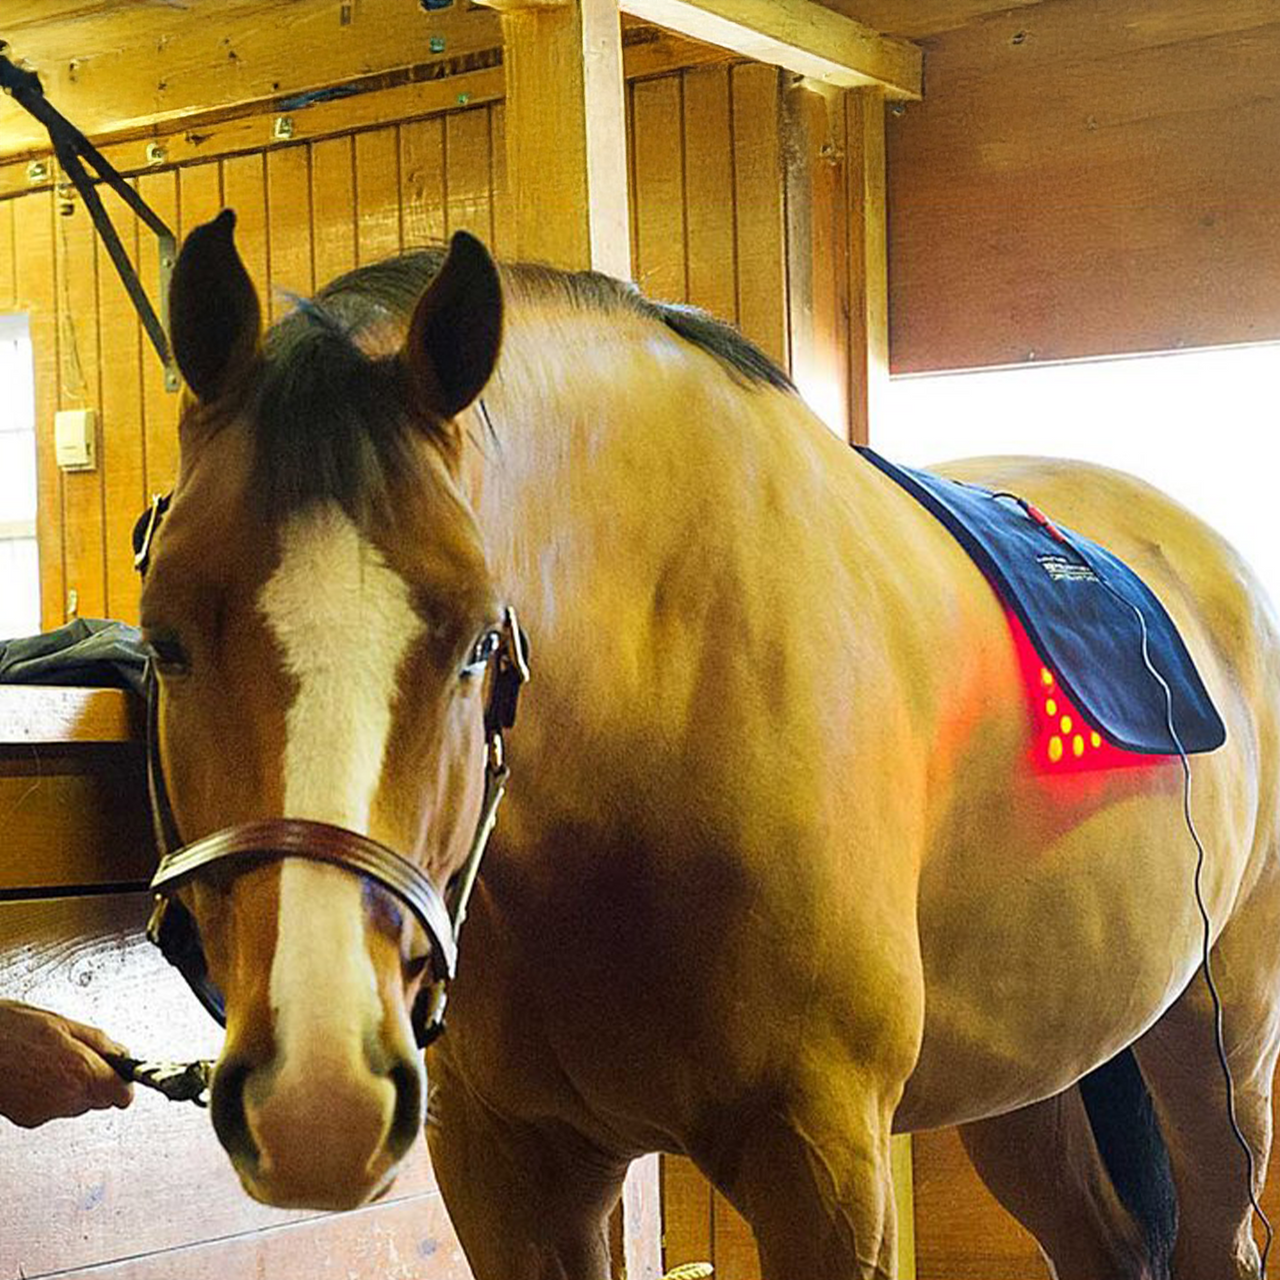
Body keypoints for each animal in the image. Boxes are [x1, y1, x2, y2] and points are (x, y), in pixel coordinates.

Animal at [139, 208, 1280, 1280]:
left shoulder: (823, 1169)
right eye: (163, 639)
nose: (317, 1097)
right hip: (1023, 1080)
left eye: (478, 641)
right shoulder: (515, 1174)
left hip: (1220, 1051)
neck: (662, 705)